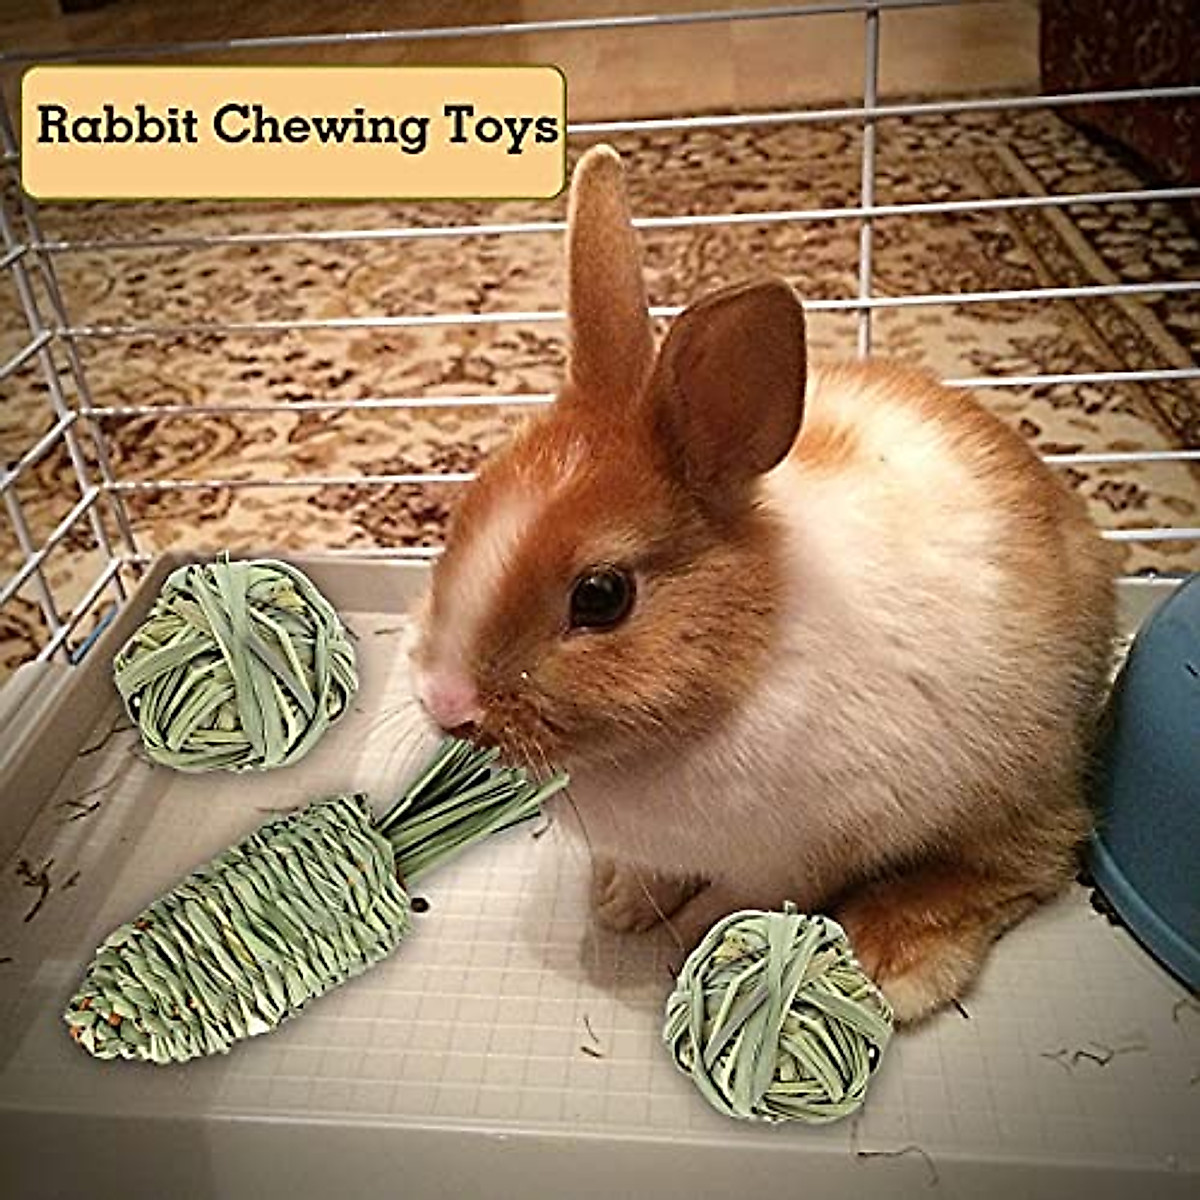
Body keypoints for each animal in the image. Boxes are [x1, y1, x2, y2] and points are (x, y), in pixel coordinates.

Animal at [409, 144, 1118, 1024]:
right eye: (462, 514)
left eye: (601, 596)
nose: (445, 704)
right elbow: (651, 872)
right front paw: (621, 902)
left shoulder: (806, 848)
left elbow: (738, 897)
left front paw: (683, 941)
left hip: (1014, 770)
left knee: (1040, 852)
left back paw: (897, 957)